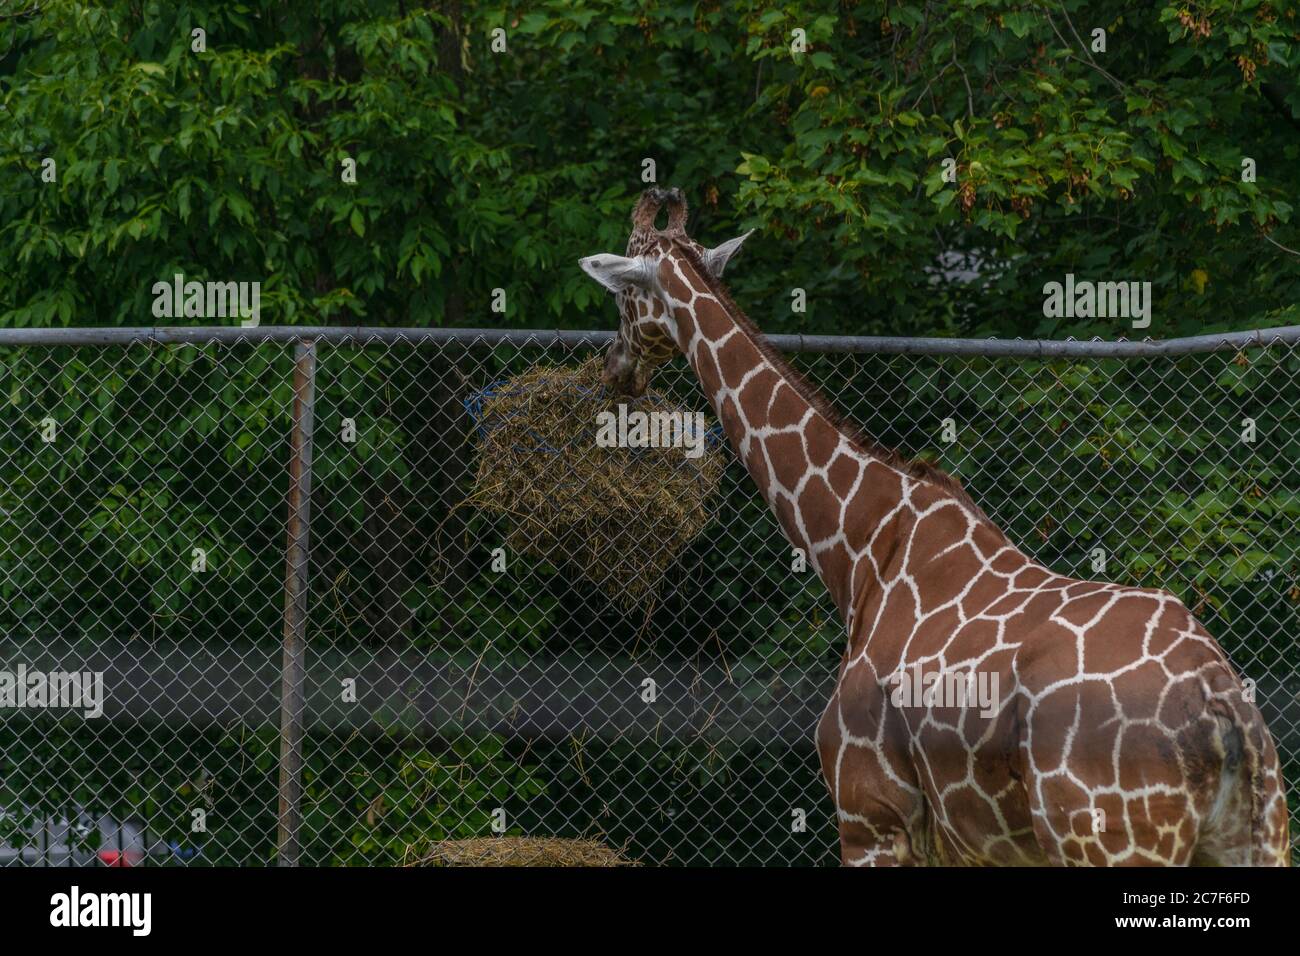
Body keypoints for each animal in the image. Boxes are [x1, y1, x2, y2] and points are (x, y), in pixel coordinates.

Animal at [579, 187, 1291, 866]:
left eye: (623, 293)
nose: (616, 366)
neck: (861, 553)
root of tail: (1220, 705)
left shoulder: (870, 815)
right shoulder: (967, 844)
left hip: (1111, 839)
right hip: (1254, 834)